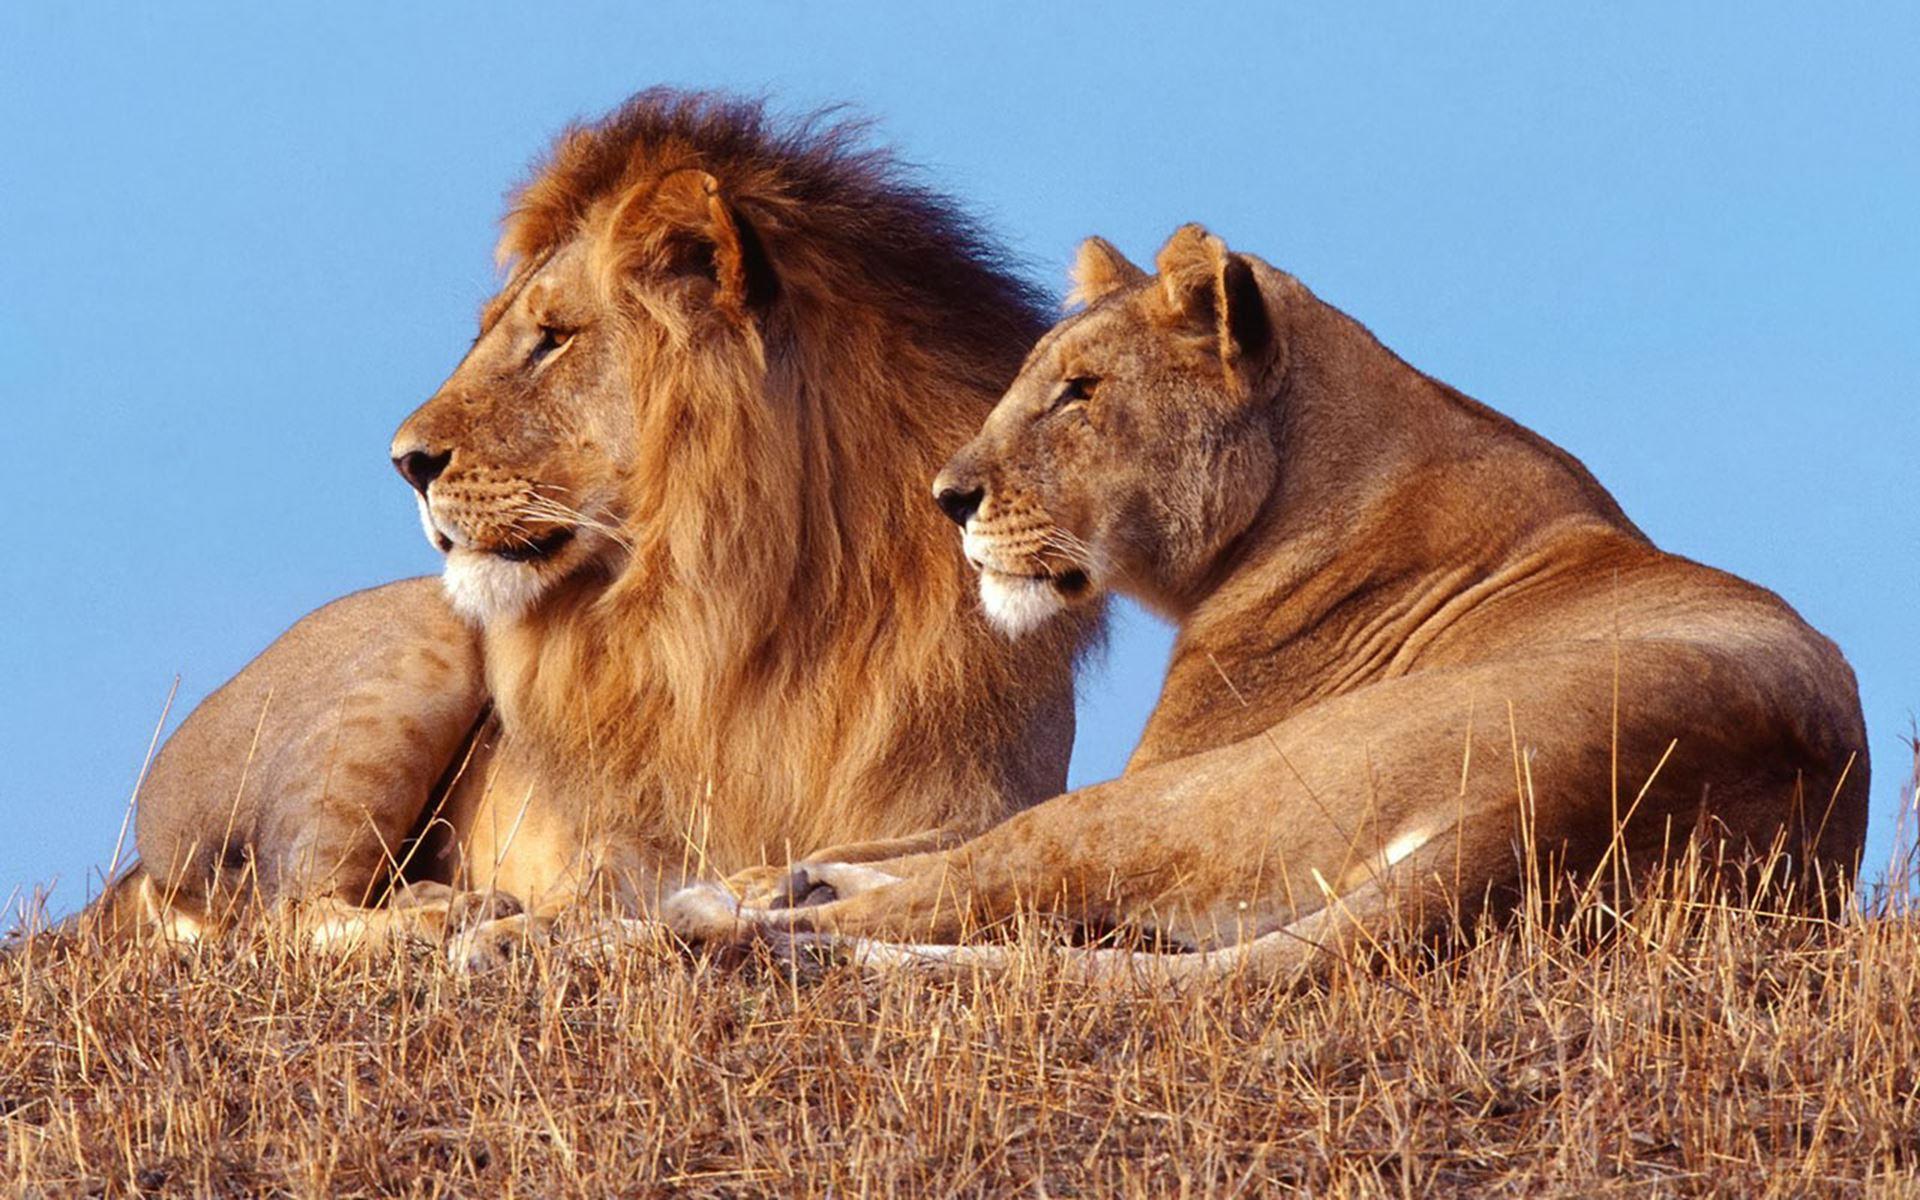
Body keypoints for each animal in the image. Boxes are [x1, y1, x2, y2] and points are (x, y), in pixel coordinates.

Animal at [94, 90, 1098, 952]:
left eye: (552, 338)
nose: (405, 461)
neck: (771, 608)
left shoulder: (989, 794)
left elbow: (943, 851)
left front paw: (790, 884)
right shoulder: (624, 838)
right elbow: (615, 888)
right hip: (418, 645)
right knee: (285, 913)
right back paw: (452, 913)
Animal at [665, 224, 1872, 982]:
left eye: (1081, 392)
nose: (946, 497)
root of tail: (1559, 810)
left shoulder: (1170, 762)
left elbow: (956, 848)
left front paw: (767, 884)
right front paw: (797, 867)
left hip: (1195, 796)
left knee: (977, 884)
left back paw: (713, 917)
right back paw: (789, 892)